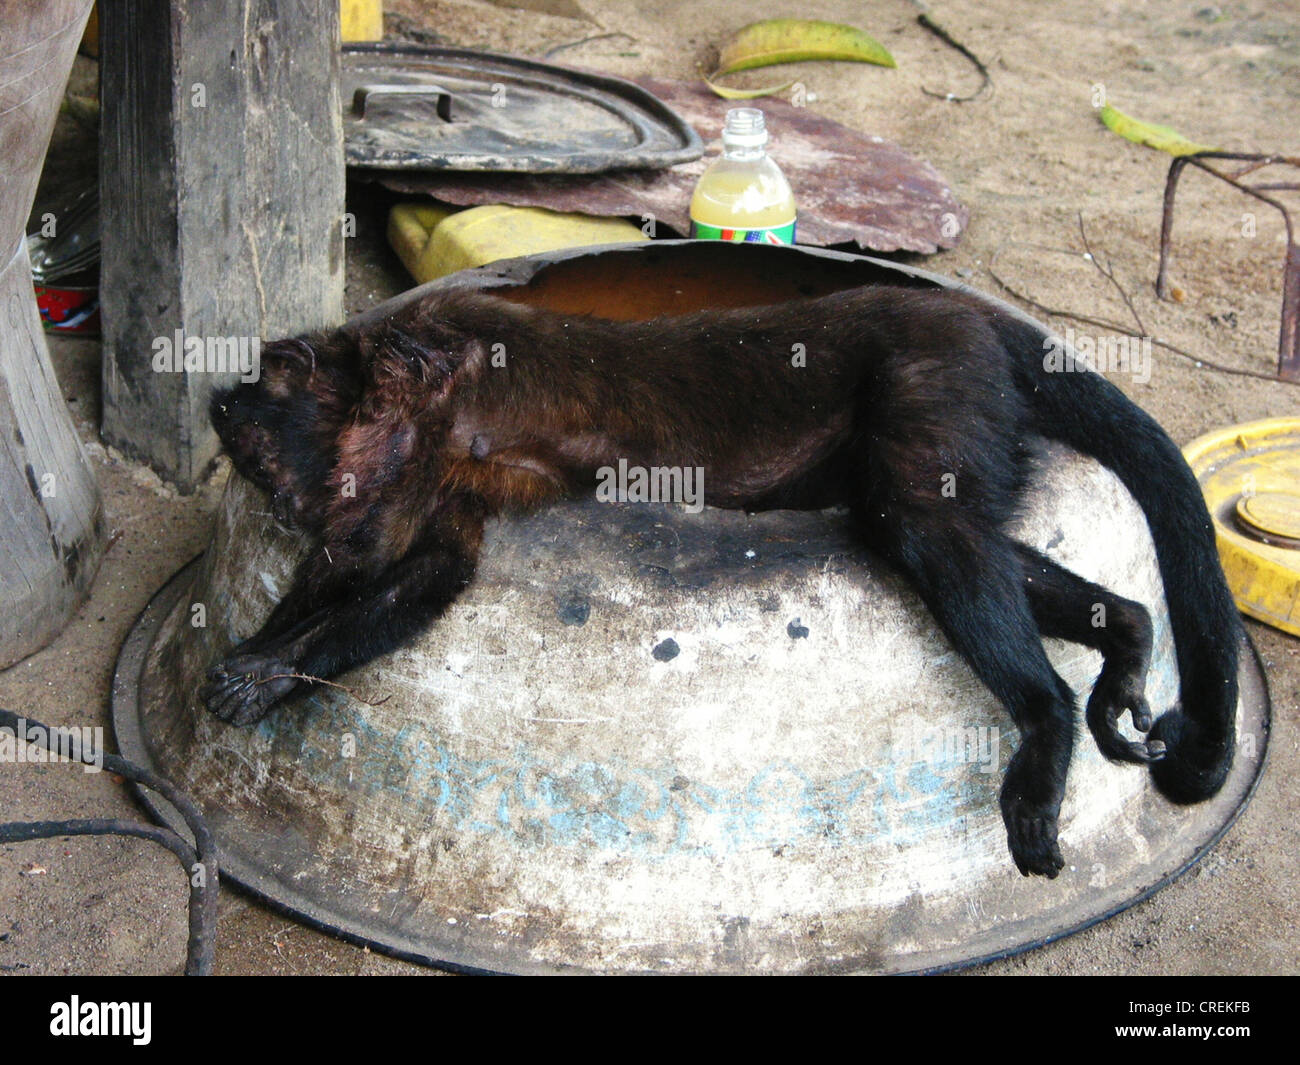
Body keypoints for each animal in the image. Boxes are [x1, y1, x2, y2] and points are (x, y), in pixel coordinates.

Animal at [200, 283, 1237, 873]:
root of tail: (977, 316)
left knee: (920, 517)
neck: (388, 404)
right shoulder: (428, 475)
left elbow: (375, 558)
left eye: (259, 387)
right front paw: (266, 655)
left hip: (938, 370)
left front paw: (268, 662)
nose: (218, 397)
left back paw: (1048, 719)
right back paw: (1125, 632)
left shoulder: (420, 368)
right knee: (929, 525)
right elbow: (408, 573)